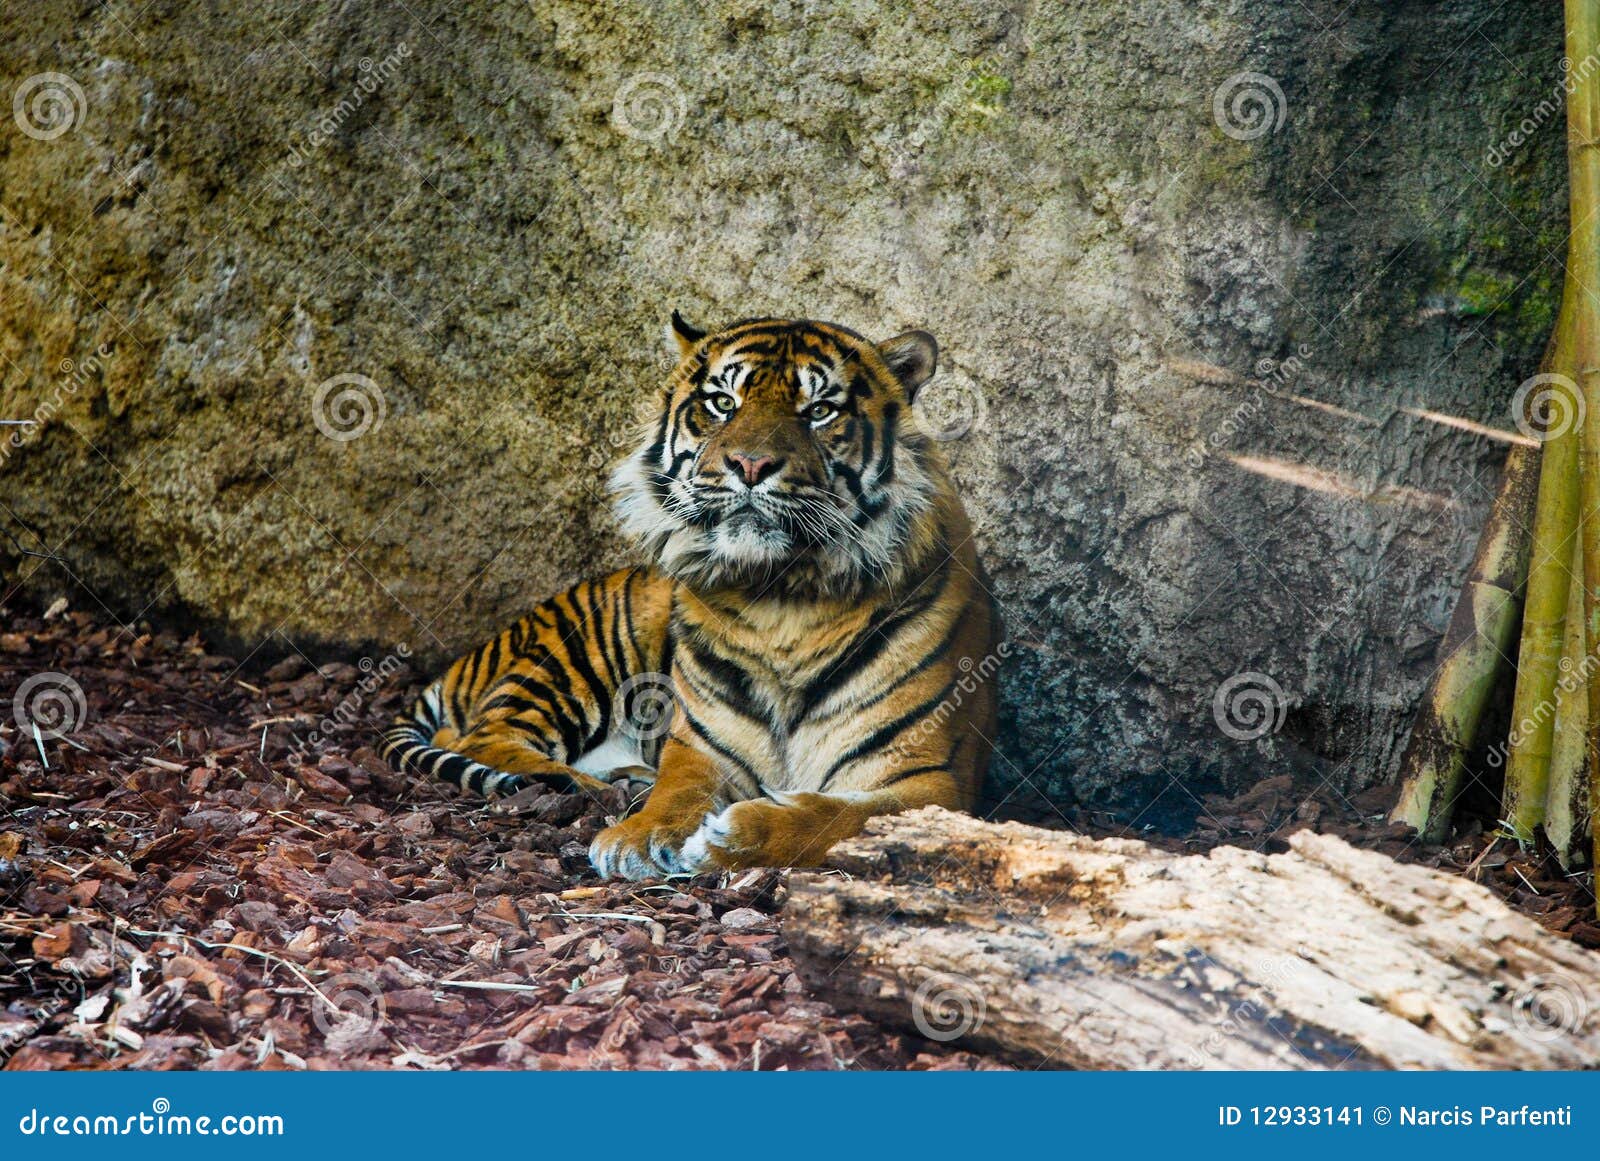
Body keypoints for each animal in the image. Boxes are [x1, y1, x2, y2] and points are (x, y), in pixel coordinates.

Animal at [379, 313, 1000, 879]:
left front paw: (736, 834)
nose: (749, 464)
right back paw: (591, 787)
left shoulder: (931, 784)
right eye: (723, 403)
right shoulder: (701, 746)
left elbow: (837, 818)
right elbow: (678, 789)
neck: (783, 603)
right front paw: (637, 836)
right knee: (478, 734)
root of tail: (471, 656)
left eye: (819, 410)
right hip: (575, 660)